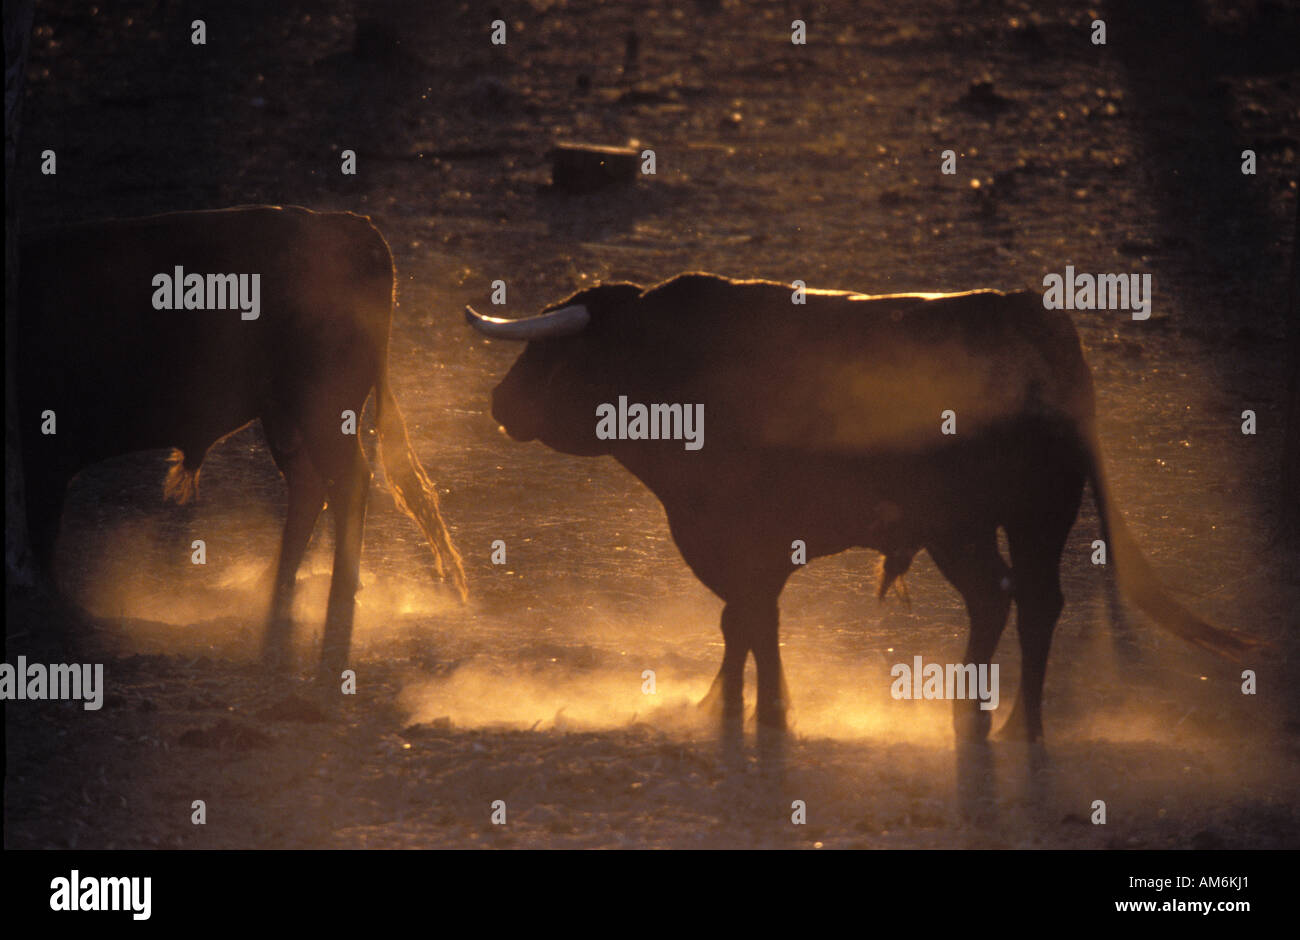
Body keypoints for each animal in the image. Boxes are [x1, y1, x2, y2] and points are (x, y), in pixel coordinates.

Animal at [19, 205, 468, 677]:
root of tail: (349, 223)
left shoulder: (44, 451)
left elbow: (43, 531)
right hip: (285, 418)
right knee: (312, 487)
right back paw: (274, 585)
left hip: (322, 409)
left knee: (346, 482)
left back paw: (335, 597)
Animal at [467, 272, 1264, 743]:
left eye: (549, 358)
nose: (501, 404)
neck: (678, 368)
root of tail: (1041, 330)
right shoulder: (741, 550)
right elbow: (742, 623)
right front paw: (725, 706)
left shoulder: (745, 541)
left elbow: (751, 622)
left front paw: (764, 712)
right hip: (1015, 522)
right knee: (1028, 602)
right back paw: (1007, 724)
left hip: (983, 524)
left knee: (1007, 598)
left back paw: (989, 722)